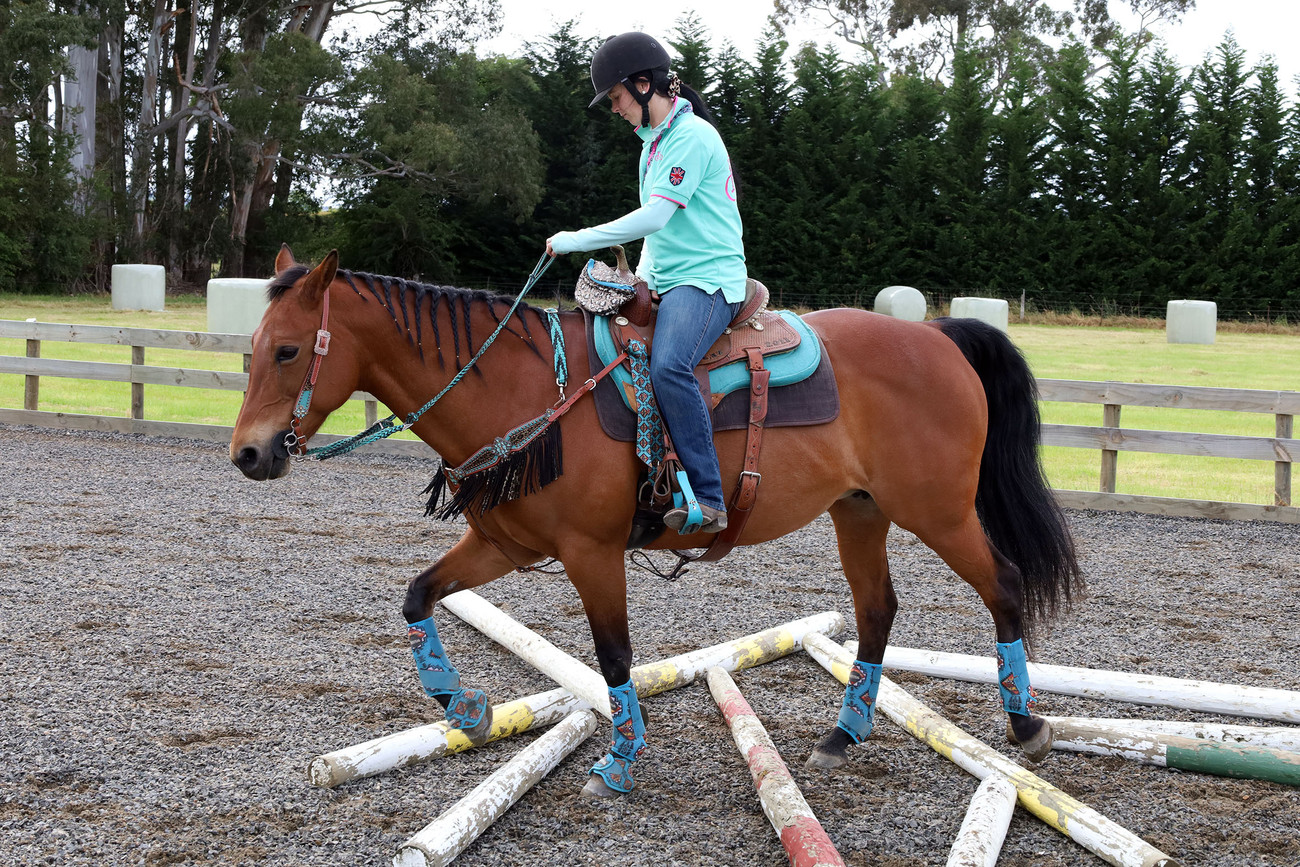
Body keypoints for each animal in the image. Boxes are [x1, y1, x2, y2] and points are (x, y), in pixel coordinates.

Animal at [231, 246, 1080, 798]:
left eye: (287, 350)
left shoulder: (591, 552)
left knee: (1003, 586)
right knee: (877, 609)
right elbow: (417, 594)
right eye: (251, 349)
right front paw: (466, 707)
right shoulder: (504, 542)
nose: (247, 452)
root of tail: (935, 334)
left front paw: (619, 762)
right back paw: (845, 734)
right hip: (860, 511)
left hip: (939, 510)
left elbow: (613, 656)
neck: (525, 390)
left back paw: (1025, 724)